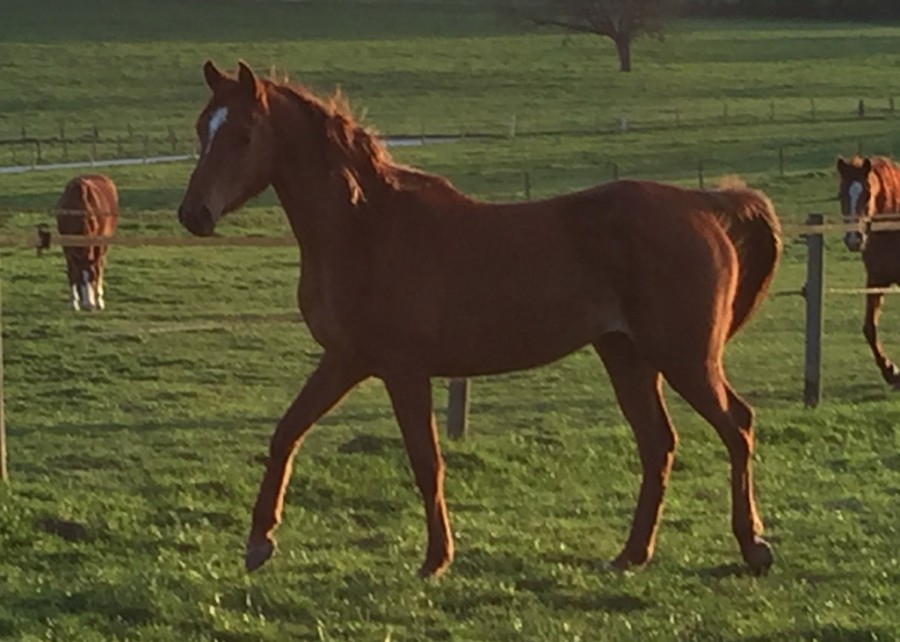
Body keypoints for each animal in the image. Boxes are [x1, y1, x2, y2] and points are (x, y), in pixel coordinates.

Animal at [55, 174, 119, 311]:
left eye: (93, 277)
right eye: (80, 279)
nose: (89, 306)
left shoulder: (98, 243)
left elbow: (98, 268)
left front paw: (99, 300)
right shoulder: (67, 247)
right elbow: (71, 271)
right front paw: (73, 301)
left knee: (101, 264)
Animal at [178, 60, 783, 578]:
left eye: (243, 135)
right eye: (203, 130)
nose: (193, 215)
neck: (365, 228)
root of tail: (703, 206)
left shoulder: (403, 370)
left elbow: (426, 461)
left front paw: (435, 559)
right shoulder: (346, 360)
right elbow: (286, 433)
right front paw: (259, 542)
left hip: (686, 359)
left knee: (737, 426)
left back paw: (753, 546)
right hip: (628, 358)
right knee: (658, 444)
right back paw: (631, 554)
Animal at [836, 156, 900, 387]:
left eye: (868, 193)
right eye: (841, 195)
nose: (854, 239)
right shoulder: (876, 280)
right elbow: (869, 327)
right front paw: (891, 372)